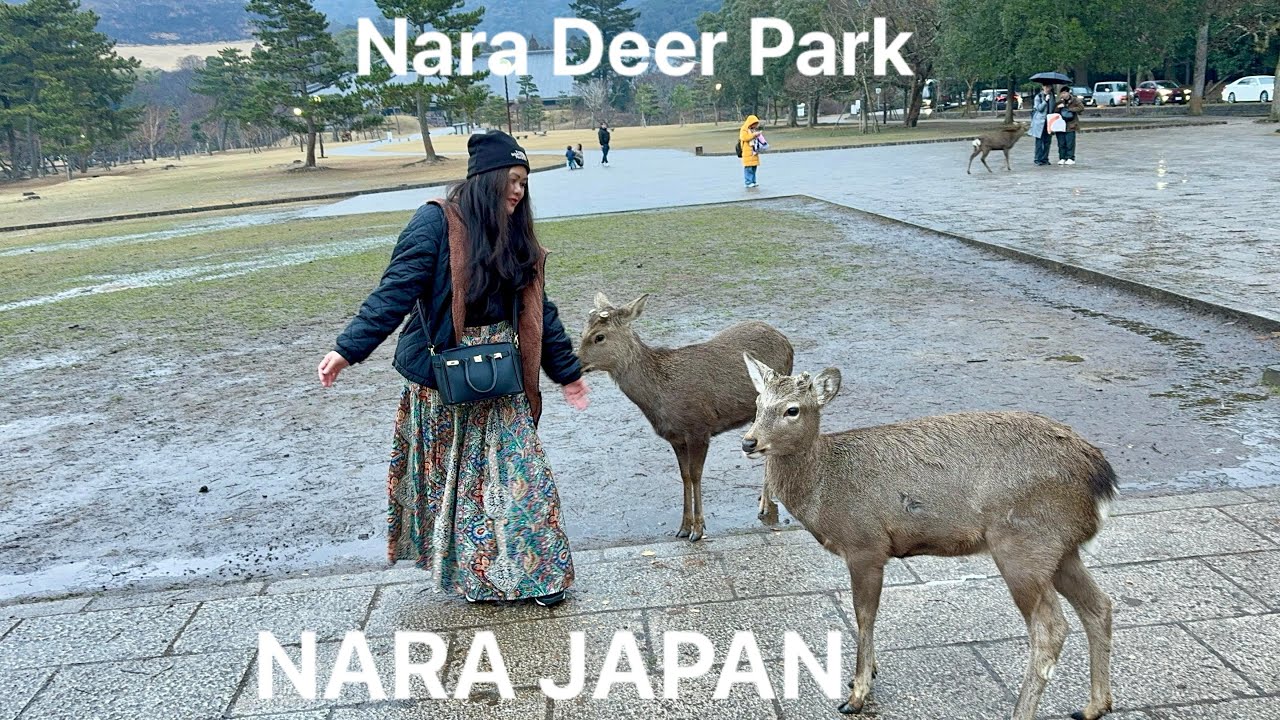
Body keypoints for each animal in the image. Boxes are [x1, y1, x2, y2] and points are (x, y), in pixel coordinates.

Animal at [577, 293, 794, 541]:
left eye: (599, 336)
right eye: (582, 332)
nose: (575, 362)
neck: (661, 397)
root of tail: (787, 342)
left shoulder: (699, 428)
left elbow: (696, 474)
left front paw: (698, 529)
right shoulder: (676, 437)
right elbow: (685, 476)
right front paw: (683, 527)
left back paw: (766, 504)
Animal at [741, 353, 1117, 720]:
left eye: (792, 409)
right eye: (758, 402)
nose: (748, 441)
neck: (824, 488)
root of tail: (1102, 477)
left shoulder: (866, 543)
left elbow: (864, 615)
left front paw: (857, 694)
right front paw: (867, 674)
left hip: (1023, 543)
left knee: (1050, 629)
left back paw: (1024, 711)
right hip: (1062, 547)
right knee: (1098, 604)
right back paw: (1094, 706)